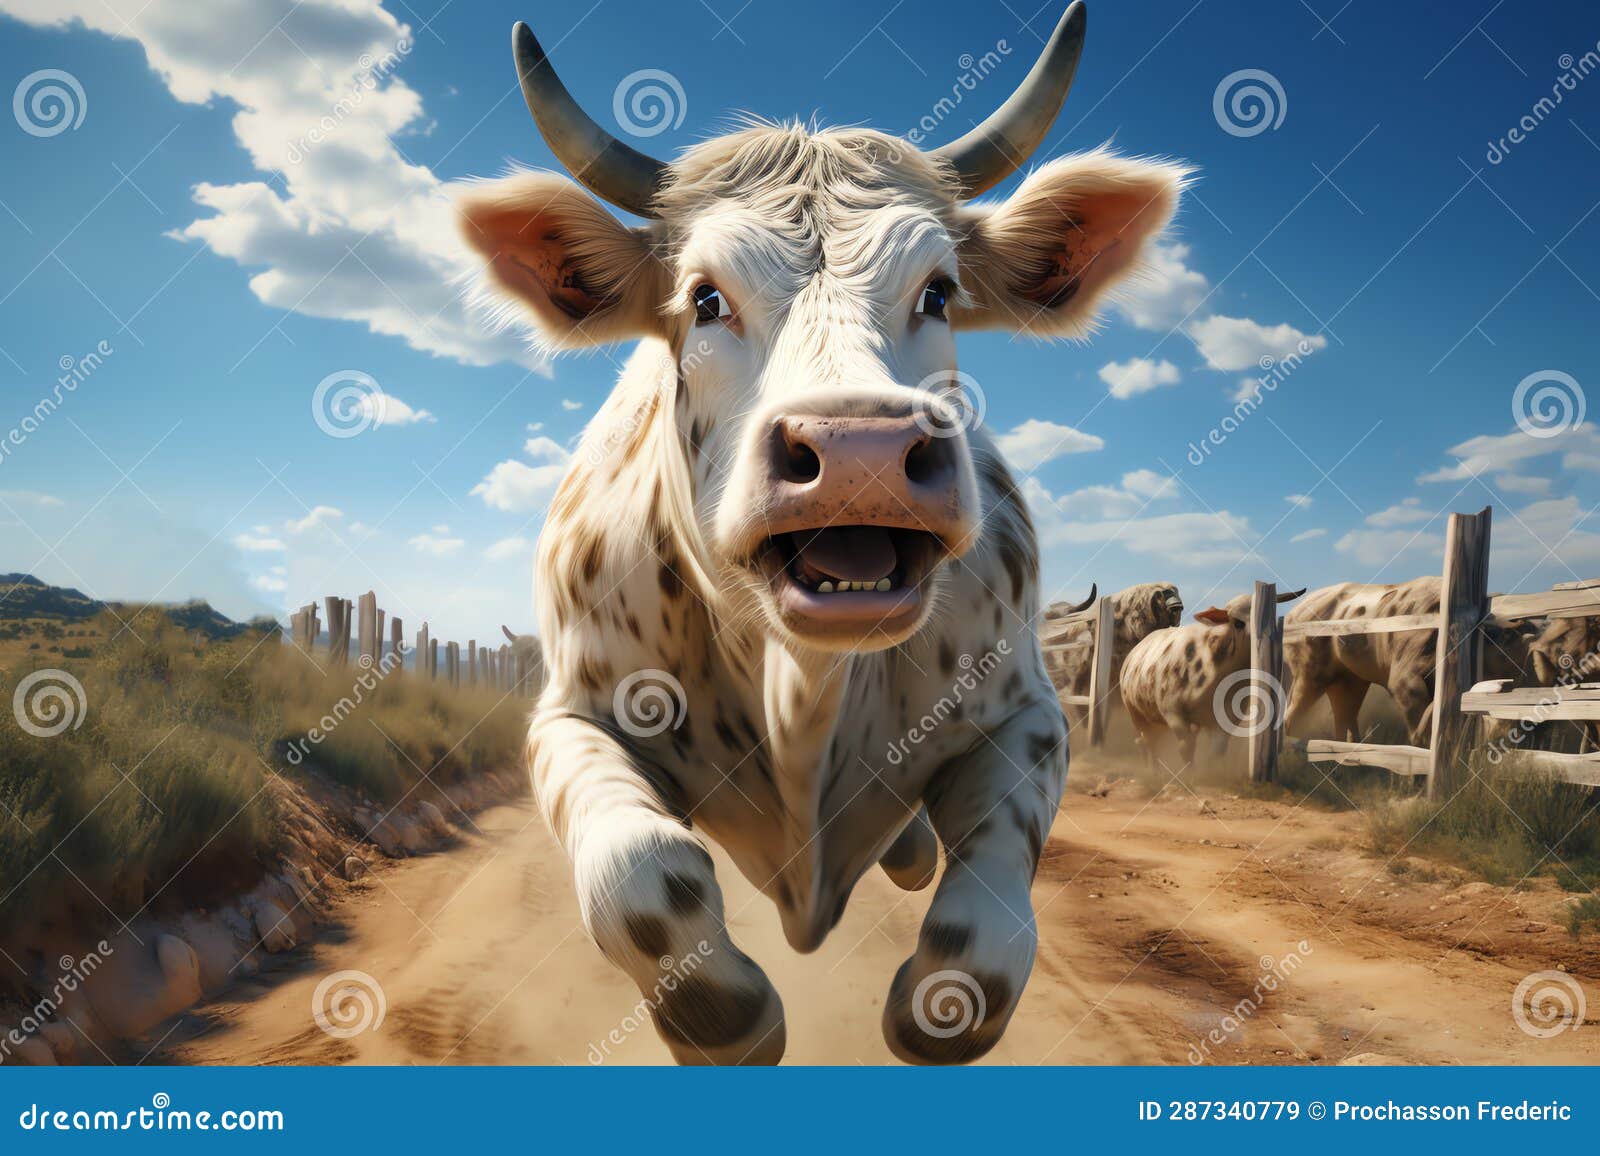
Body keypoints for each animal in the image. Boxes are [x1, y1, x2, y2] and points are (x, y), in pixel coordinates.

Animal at [1120, 588, 1304, 769]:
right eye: (1238, 622)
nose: (1264, 640)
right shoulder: (1173, 712)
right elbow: (1186, 748)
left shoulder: (1224, 720)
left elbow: (1216, 751)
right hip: (1136, 713)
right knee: (1148, 743)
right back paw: (1154, 771)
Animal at [1283, 577, 1542, 747]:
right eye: (1506, 645)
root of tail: (1293, 612)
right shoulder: (1405, 682)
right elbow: (1420, 736)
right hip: (1310, 674)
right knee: (1291, 715)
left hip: (1348, 680)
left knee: (1343, 715)